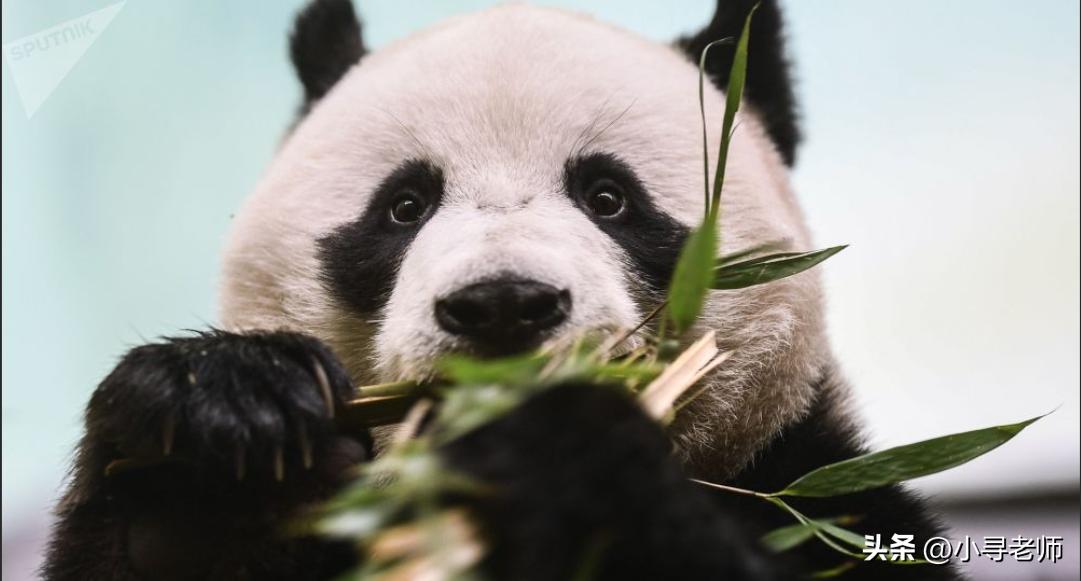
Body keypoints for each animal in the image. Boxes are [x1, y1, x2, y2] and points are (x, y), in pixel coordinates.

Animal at [44, 1, 960, 579]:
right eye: (404, 205)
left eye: (608, 197)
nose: (502, 304)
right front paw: (219, 455)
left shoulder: (811, 485)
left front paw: (558, 453)